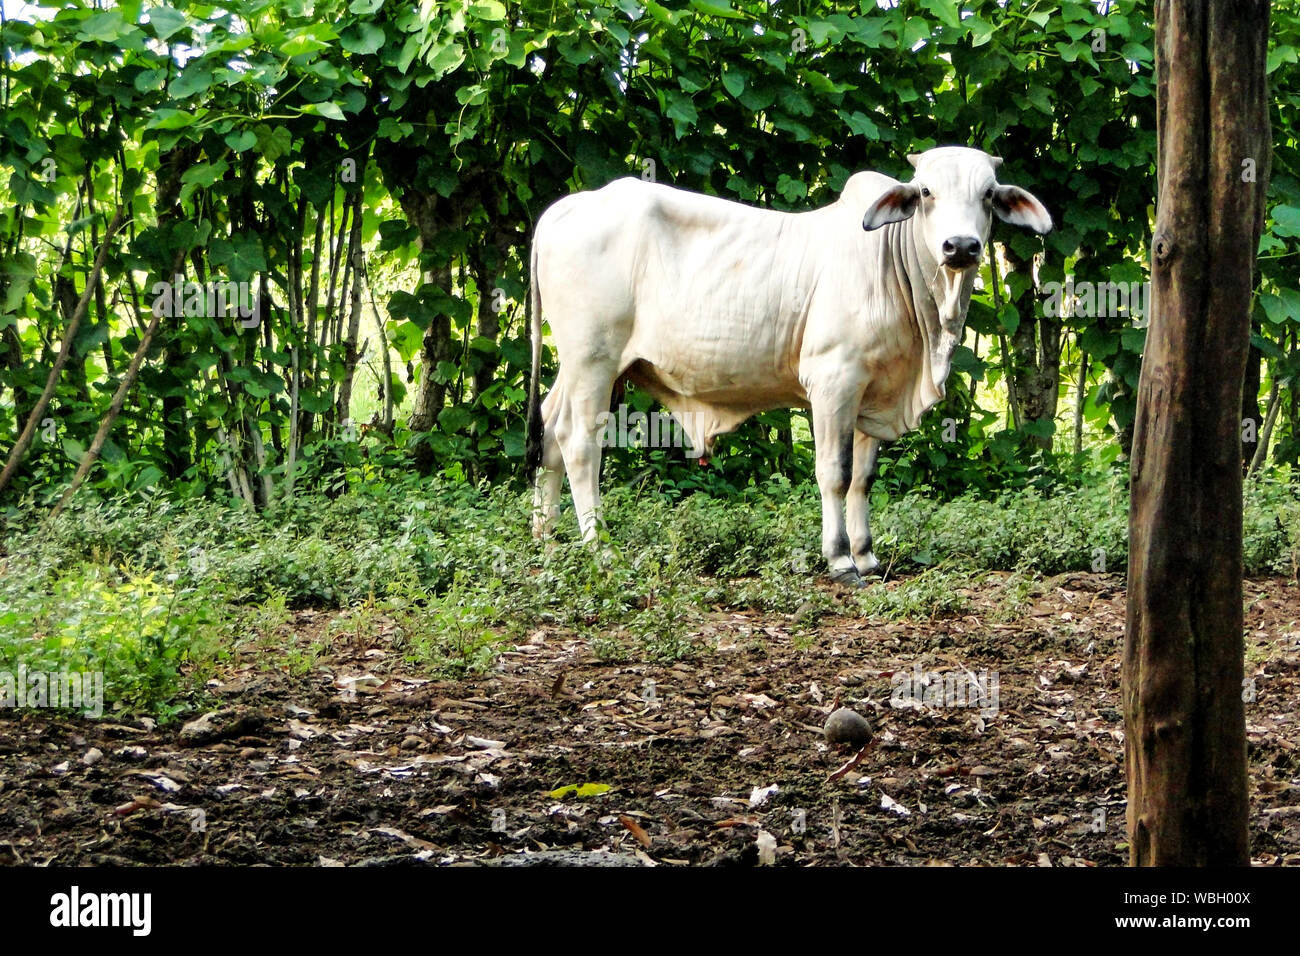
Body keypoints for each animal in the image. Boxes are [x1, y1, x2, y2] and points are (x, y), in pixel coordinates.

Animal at [524, 146, 1051, 585]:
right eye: (925, 192)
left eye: (988, 195)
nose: (960, 246)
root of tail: (564, 209)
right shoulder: (834, 381)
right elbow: (835, 473)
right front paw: (840, 560)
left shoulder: (874, 392)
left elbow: (863, 478)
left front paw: (867, 556)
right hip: (593, 359)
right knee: (579, 444)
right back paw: (599, 550)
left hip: (582, 366)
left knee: (550, 431)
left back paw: (547, 546)